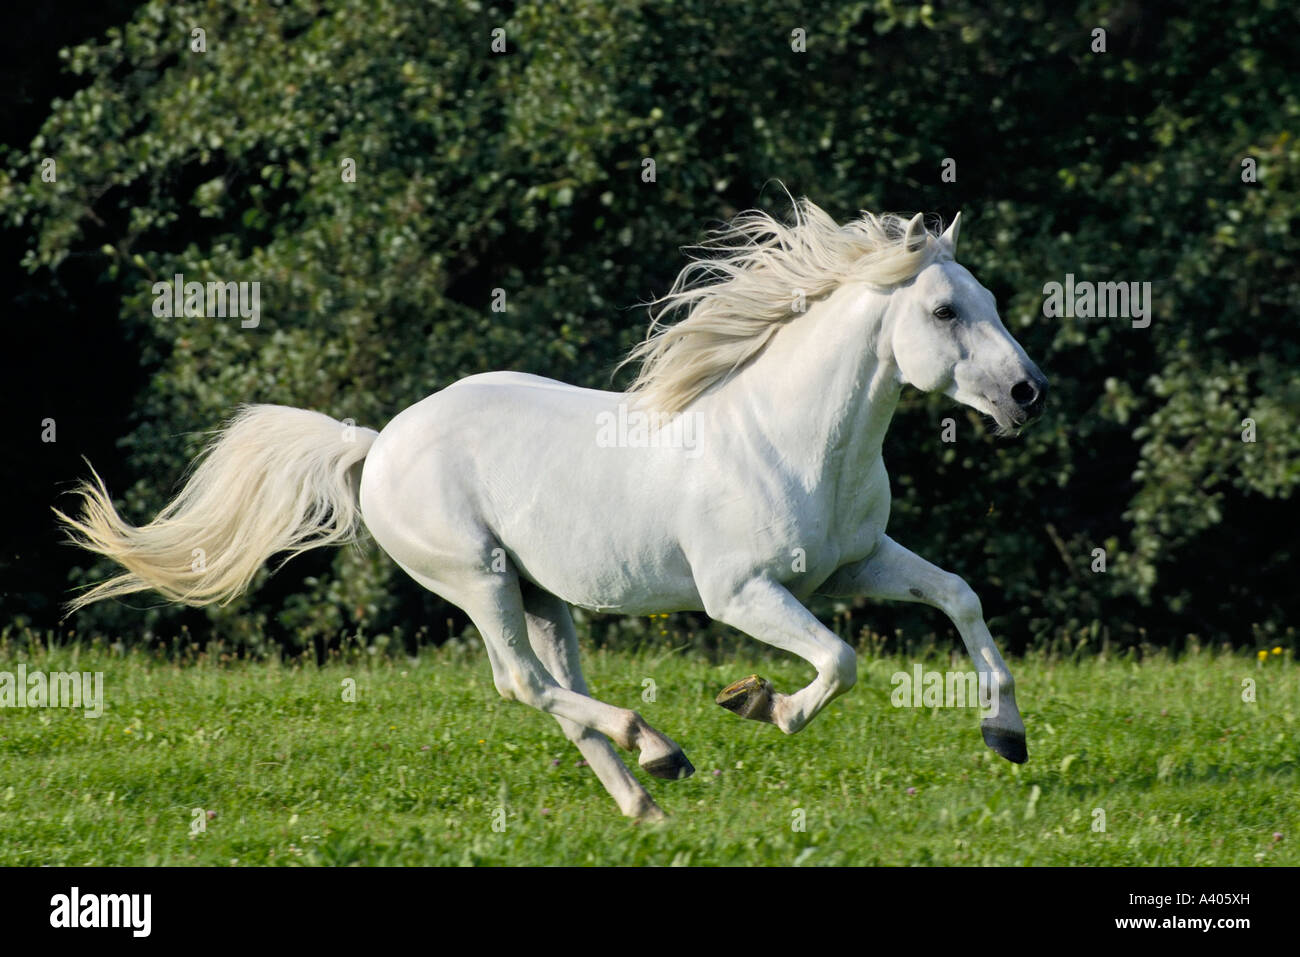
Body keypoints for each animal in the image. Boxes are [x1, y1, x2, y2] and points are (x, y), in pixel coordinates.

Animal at [57, 198, 1048, 821]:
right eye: (945, 309)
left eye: (992, 300)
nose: (1027, 394)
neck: (792, 437)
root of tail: (379, 440)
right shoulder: (741, 593)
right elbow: (840, 661)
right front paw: (762, 703)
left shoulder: (856, 561)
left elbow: (959, 595)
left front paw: (1005, 733)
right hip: (479, 578)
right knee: (523, 684)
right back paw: (656, 746)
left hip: (544, 595)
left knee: (558, 690)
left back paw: (648, 795)